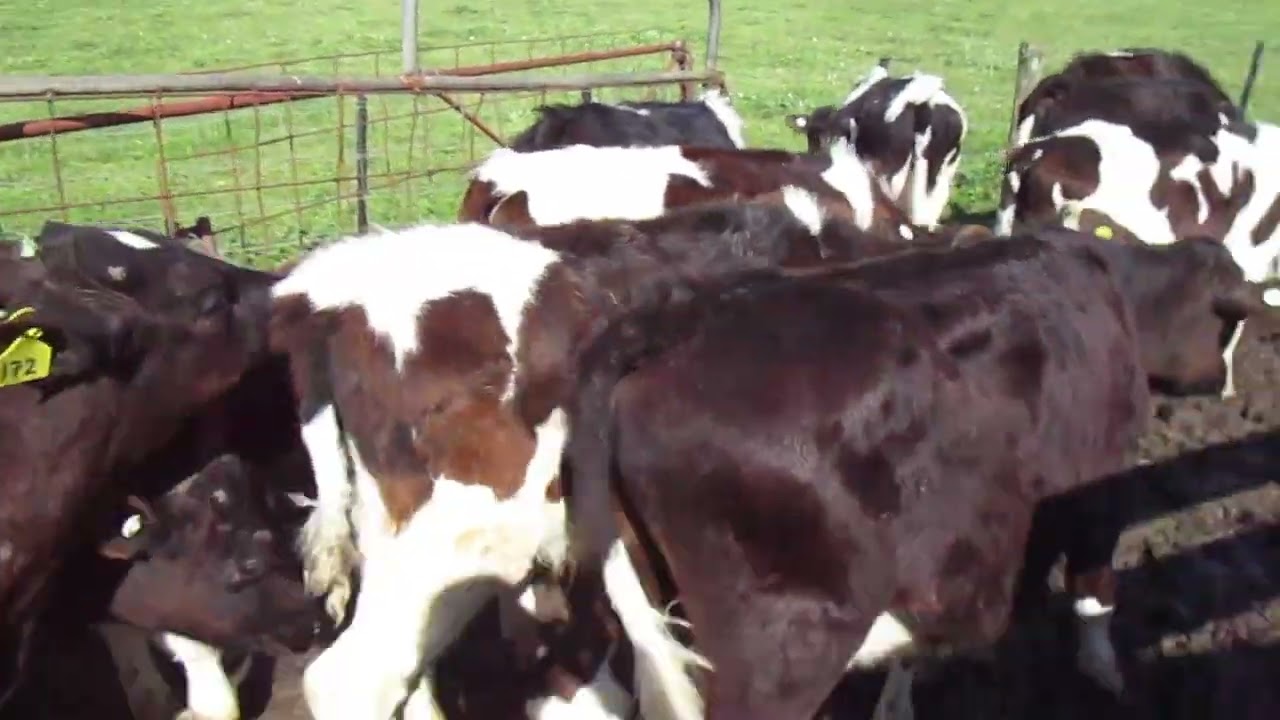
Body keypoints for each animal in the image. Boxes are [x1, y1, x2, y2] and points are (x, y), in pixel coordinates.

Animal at [558, 227, 1280, 720]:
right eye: (1228, 323)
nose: (1228, 387)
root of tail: (675, 318)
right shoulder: (1100, 484)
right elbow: (1093, 589)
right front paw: (1102, 674)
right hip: (784, 643)